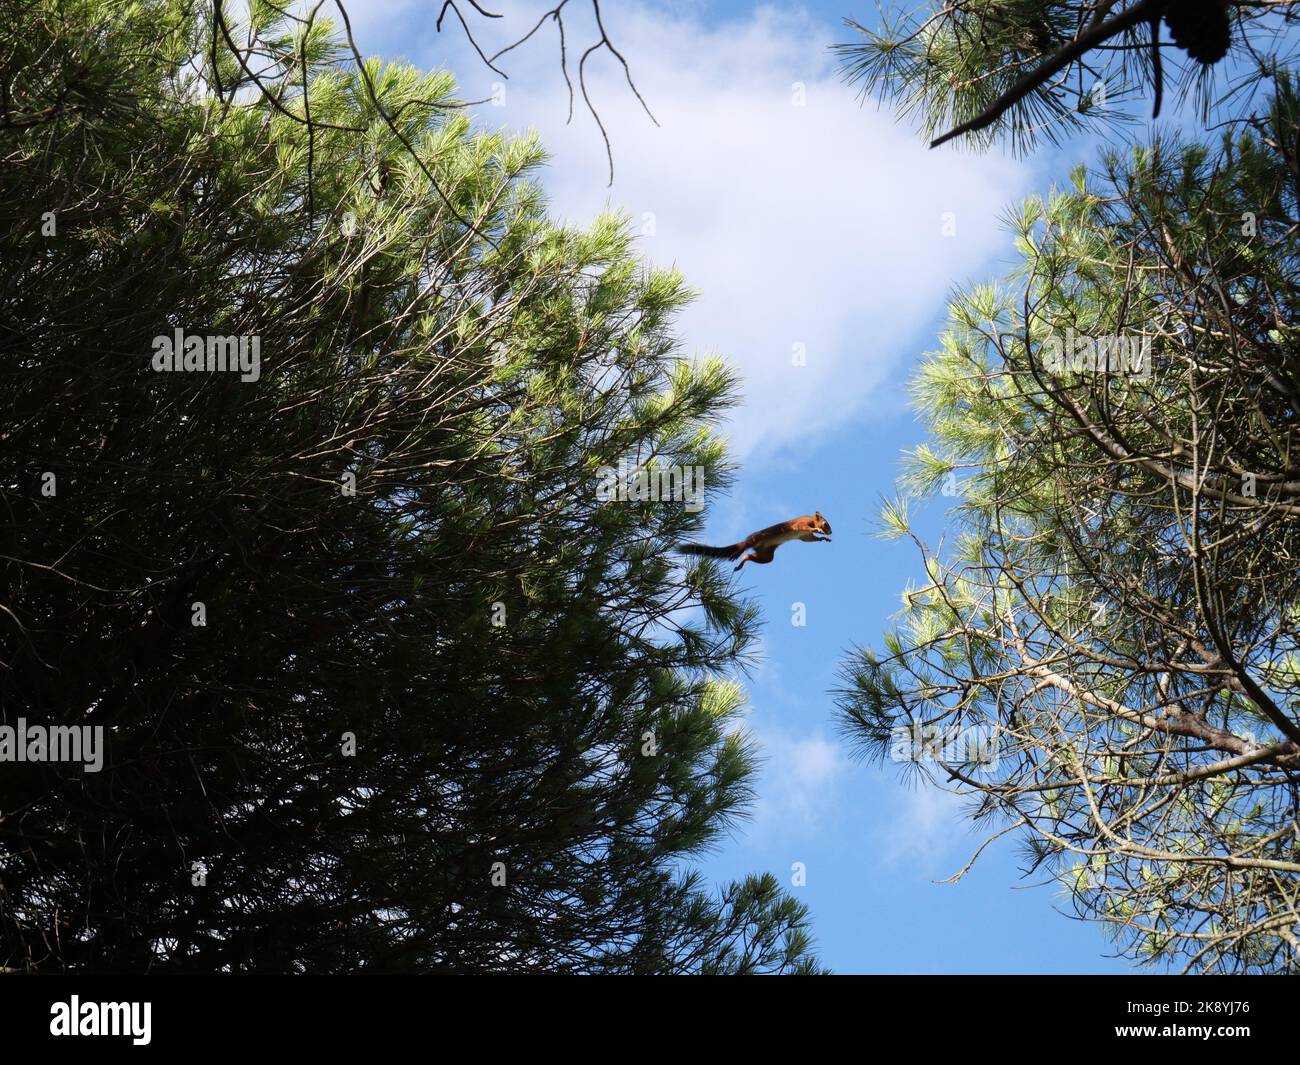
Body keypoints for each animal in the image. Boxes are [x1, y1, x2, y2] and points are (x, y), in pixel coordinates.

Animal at [678, 513, 832, 571]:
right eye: (826, 524)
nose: (830, 532)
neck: (810, 519)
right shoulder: (801, 525)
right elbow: (805, 528)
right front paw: (818, 530)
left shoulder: (805, 536)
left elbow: (809, 539)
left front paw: (823, 538)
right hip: (755, 539)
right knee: (745, 546)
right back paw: (737, 553)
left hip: (766, 555)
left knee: (749, 556)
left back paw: (740, 564)